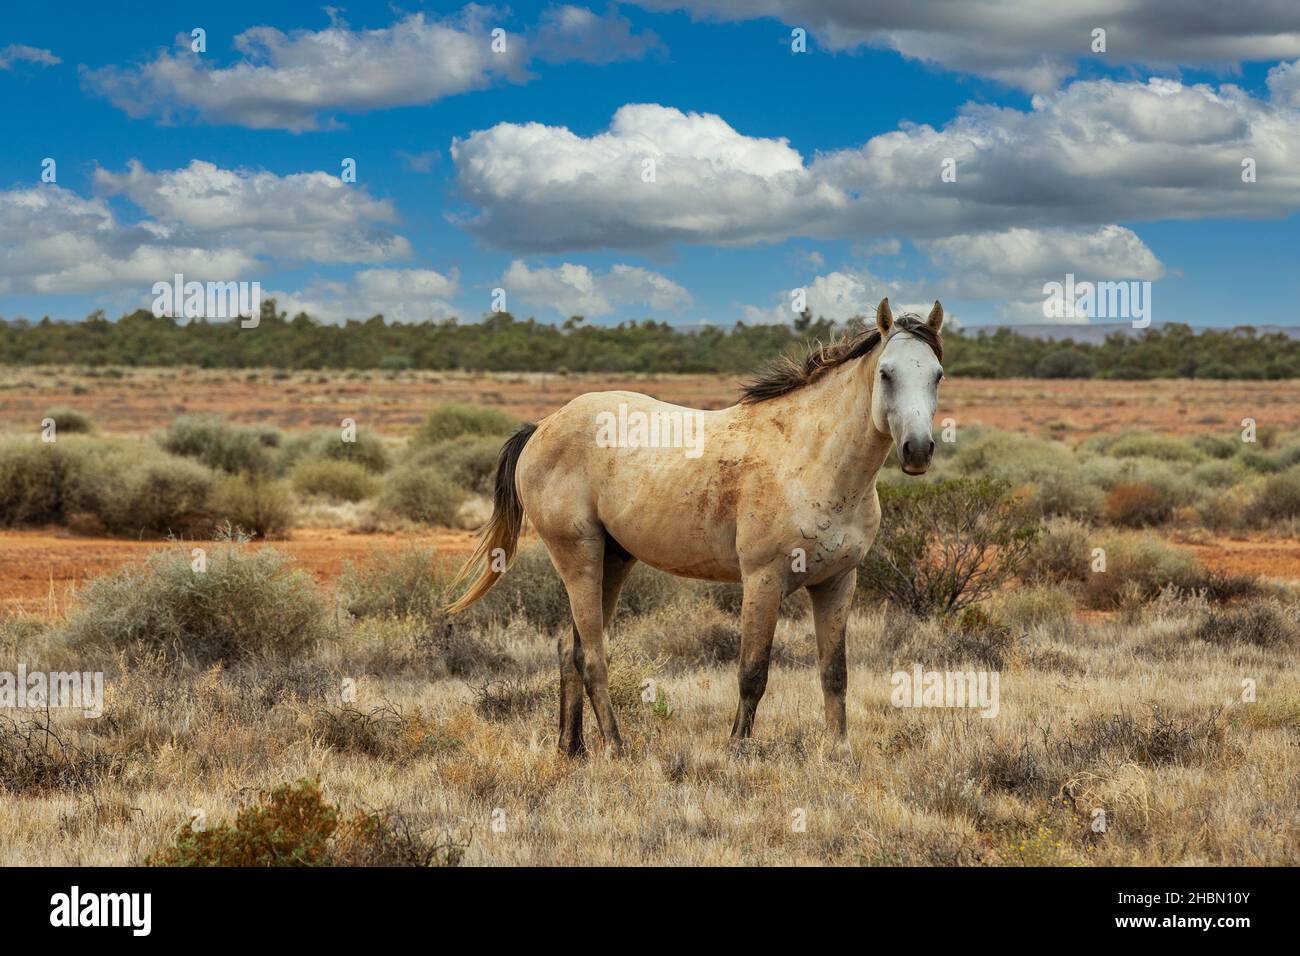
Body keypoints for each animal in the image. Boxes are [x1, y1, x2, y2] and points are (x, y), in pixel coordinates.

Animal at [449, 297, 945, 755]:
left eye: (937, 375)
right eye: (887, 374)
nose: (918, 450)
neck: (812, 461)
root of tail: (543, 425)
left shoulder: (837, 583)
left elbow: (834, 674)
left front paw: (840, 751)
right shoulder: (763, 581)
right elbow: (753, 674)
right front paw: (737, 750)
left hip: (613, 561)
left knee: (568, 651)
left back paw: (572, 748)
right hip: (579, 558)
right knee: (592, 658)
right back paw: (616, 747)